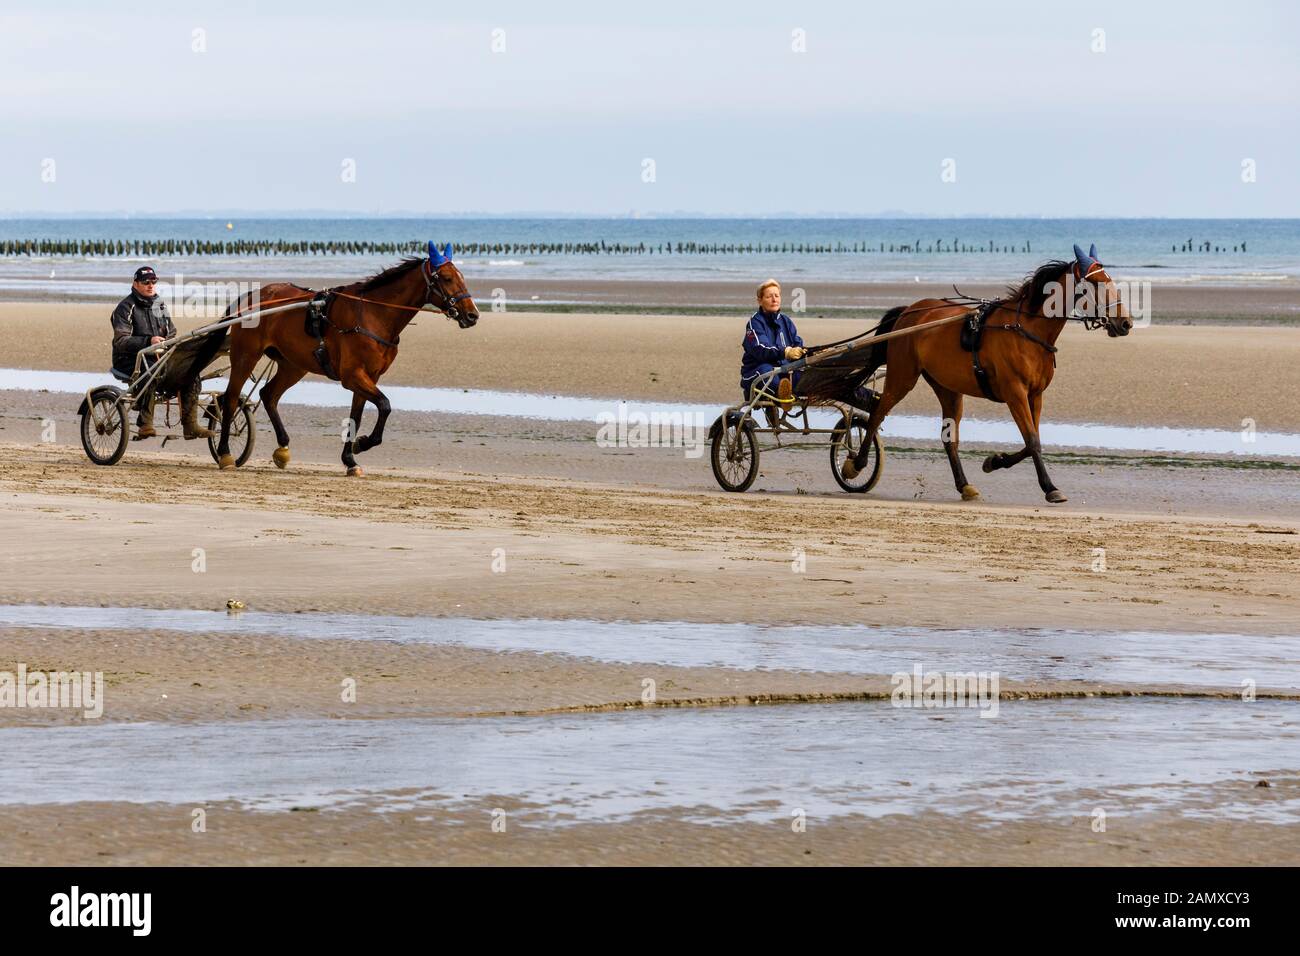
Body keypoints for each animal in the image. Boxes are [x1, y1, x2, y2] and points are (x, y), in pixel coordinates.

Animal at [215, 241, 479, 476]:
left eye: (462, 276)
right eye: (447, 278)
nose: (472, 315)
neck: (374, 314)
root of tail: (252, 295)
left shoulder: (369, 376)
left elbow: (357, 416)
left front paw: (350, 459)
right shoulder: (352, 375)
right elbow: (385, 405)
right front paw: (363, 443)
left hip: (293, 365)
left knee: (268, 394)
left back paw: (283, 448)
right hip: (246, 355)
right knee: (230, 399)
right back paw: (225, 453)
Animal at [840, 243, 1133, 503]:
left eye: (1110, 280)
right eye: (1095, 284)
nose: (1125, 323)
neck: (1026, 330)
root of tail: (910, 311)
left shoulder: (1035, 394)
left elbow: (1032, 439)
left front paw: (995, 461)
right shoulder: (1015, 393)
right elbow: (1032, 440)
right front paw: (1050, 488)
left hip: (947, 388)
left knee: (949, 439)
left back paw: (964, 485)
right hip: (902, 376)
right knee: (877, 414)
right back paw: (856, 464)